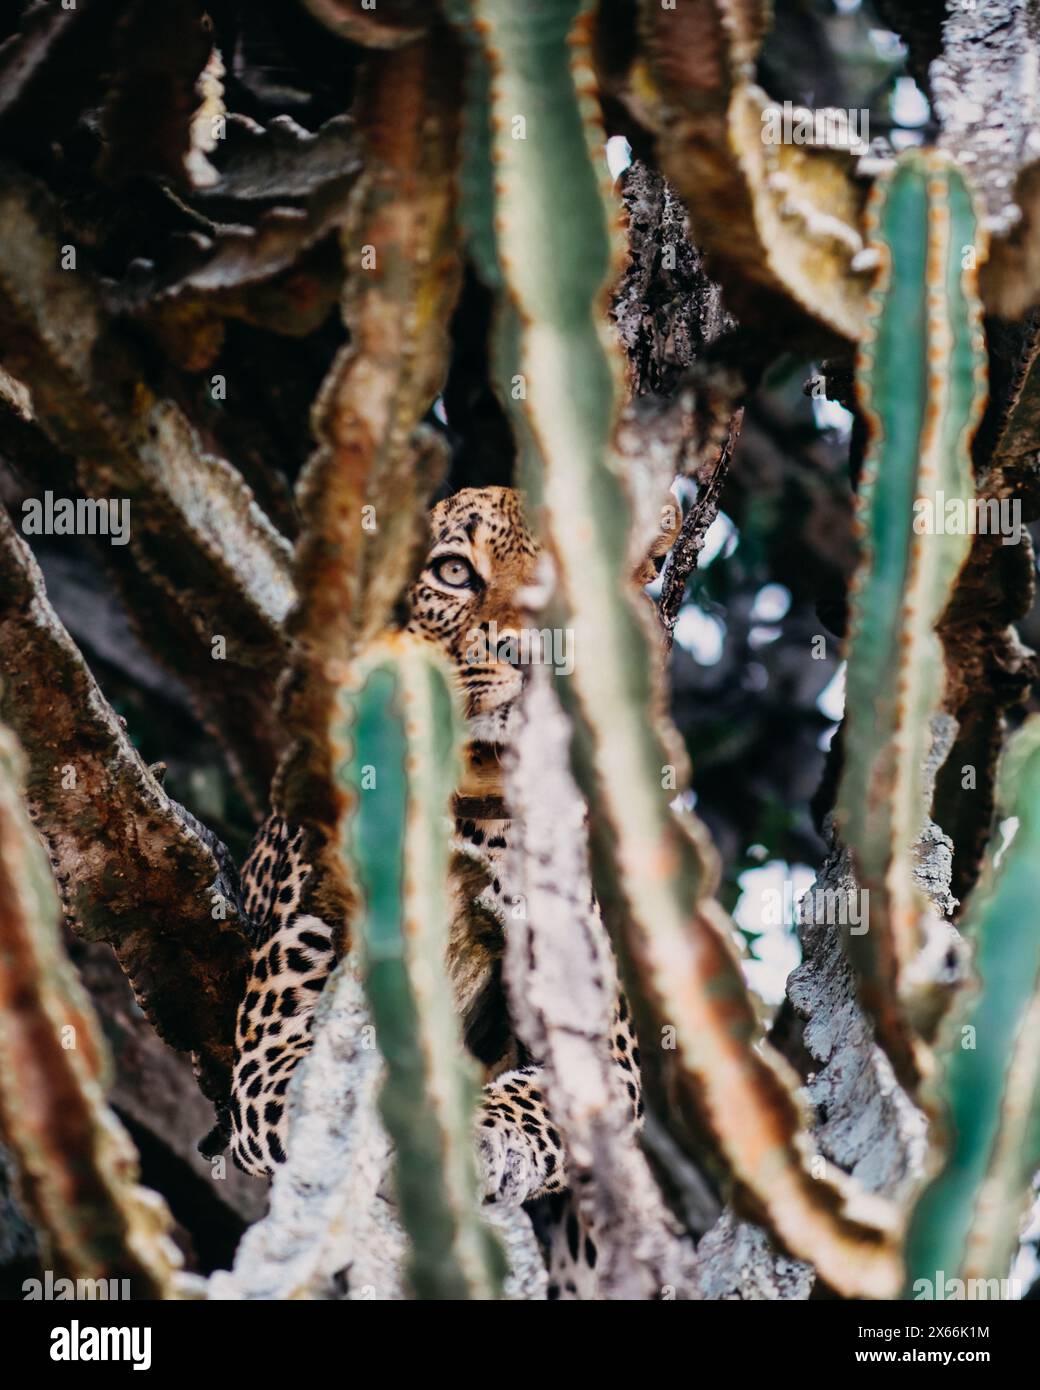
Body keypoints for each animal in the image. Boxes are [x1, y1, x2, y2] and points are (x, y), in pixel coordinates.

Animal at [227, 485, 668, 1294]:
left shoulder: (610, 1063)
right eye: (455, 572)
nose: (529, 653)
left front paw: (488, 1137)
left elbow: (538, 1102)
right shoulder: (274, 1043)